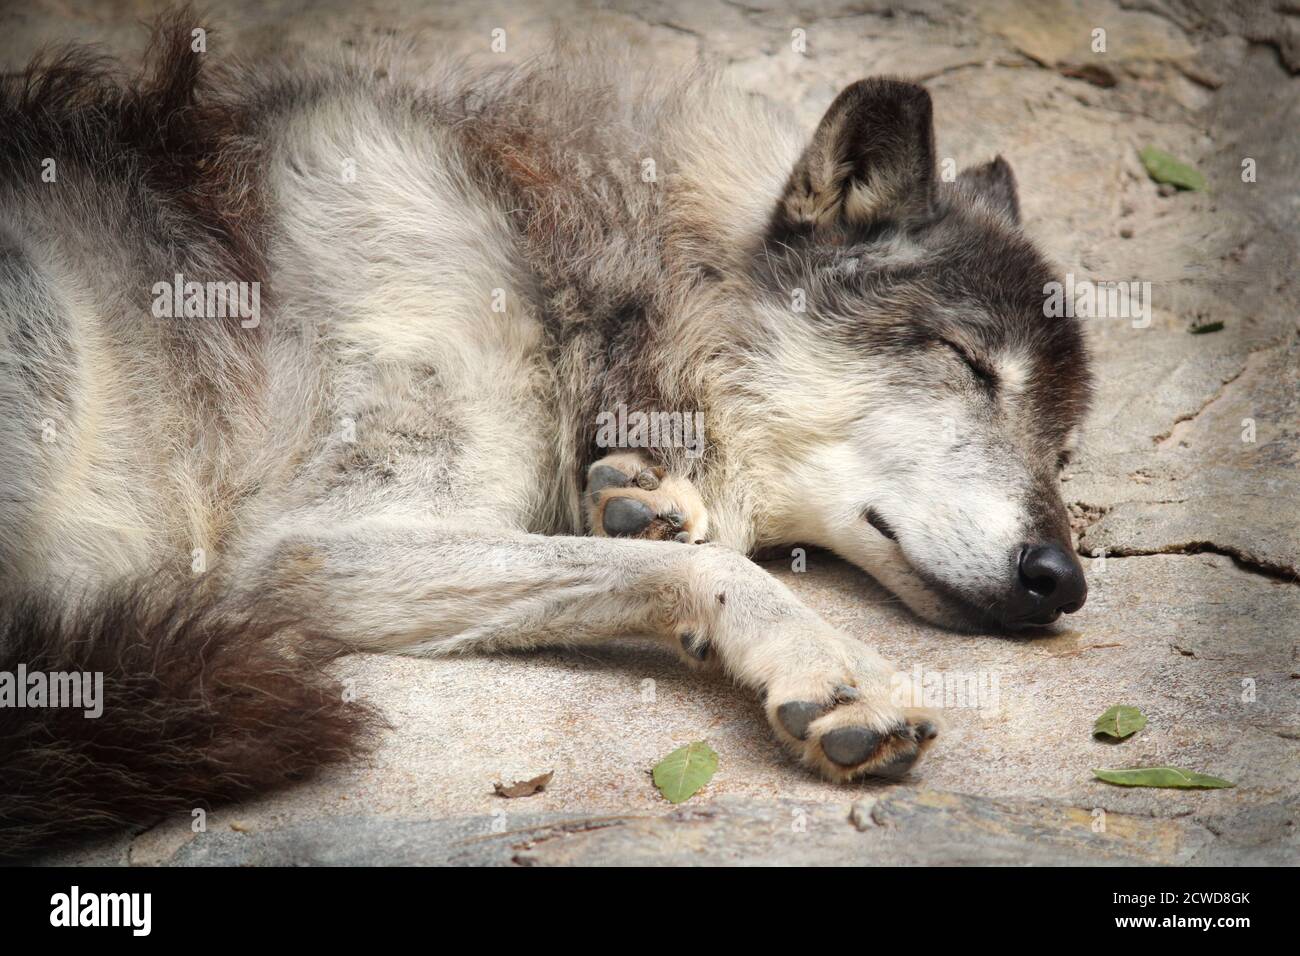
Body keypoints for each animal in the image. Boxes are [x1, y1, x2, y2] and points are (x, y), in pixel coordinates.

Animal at [0, 13, 1090, 856]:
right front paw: (835, 673)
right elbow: (717, 568)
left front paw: (646, 504)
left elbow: (667, 545)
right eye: (968, 363)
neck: (564, 269)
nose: (1061, 579)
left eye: (1062, 444)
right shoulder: (311, 548)